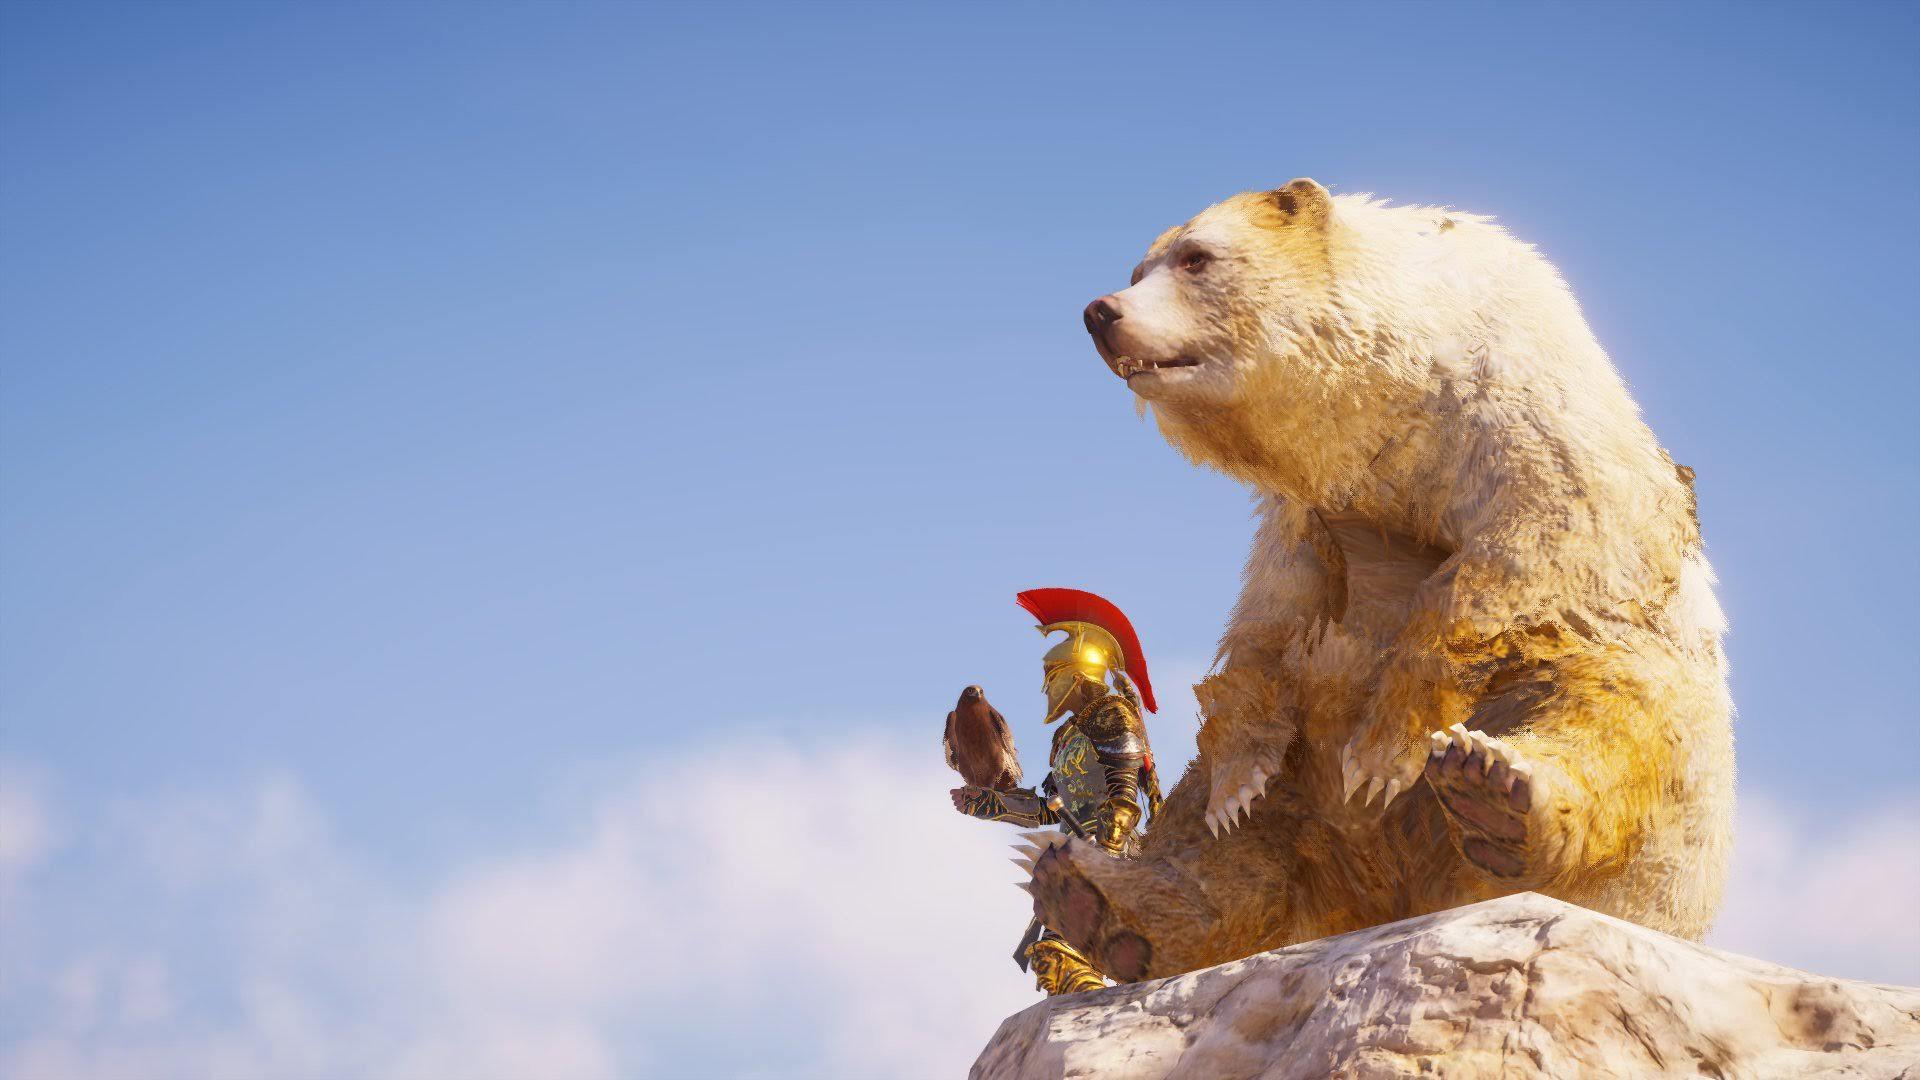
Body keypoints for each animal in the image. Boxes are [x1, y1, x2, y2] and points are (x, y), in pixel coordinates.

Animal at [1025, 179, 1735, 983]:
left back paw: (1495, 791)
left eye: (1197, 257)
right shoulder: (1314, 509)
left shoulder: (1524, 427)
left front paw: (1381, 755)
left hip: (1663, 760)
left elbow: (1509, 561)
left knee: (1608, 719)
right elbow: (1272, 617)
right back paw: (1096, 896)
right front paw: (1239, 783)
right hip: (1307, 788)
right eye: (1139, 267)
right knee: (1227, 843)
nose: (1100, 312)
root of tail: (1389, 895)